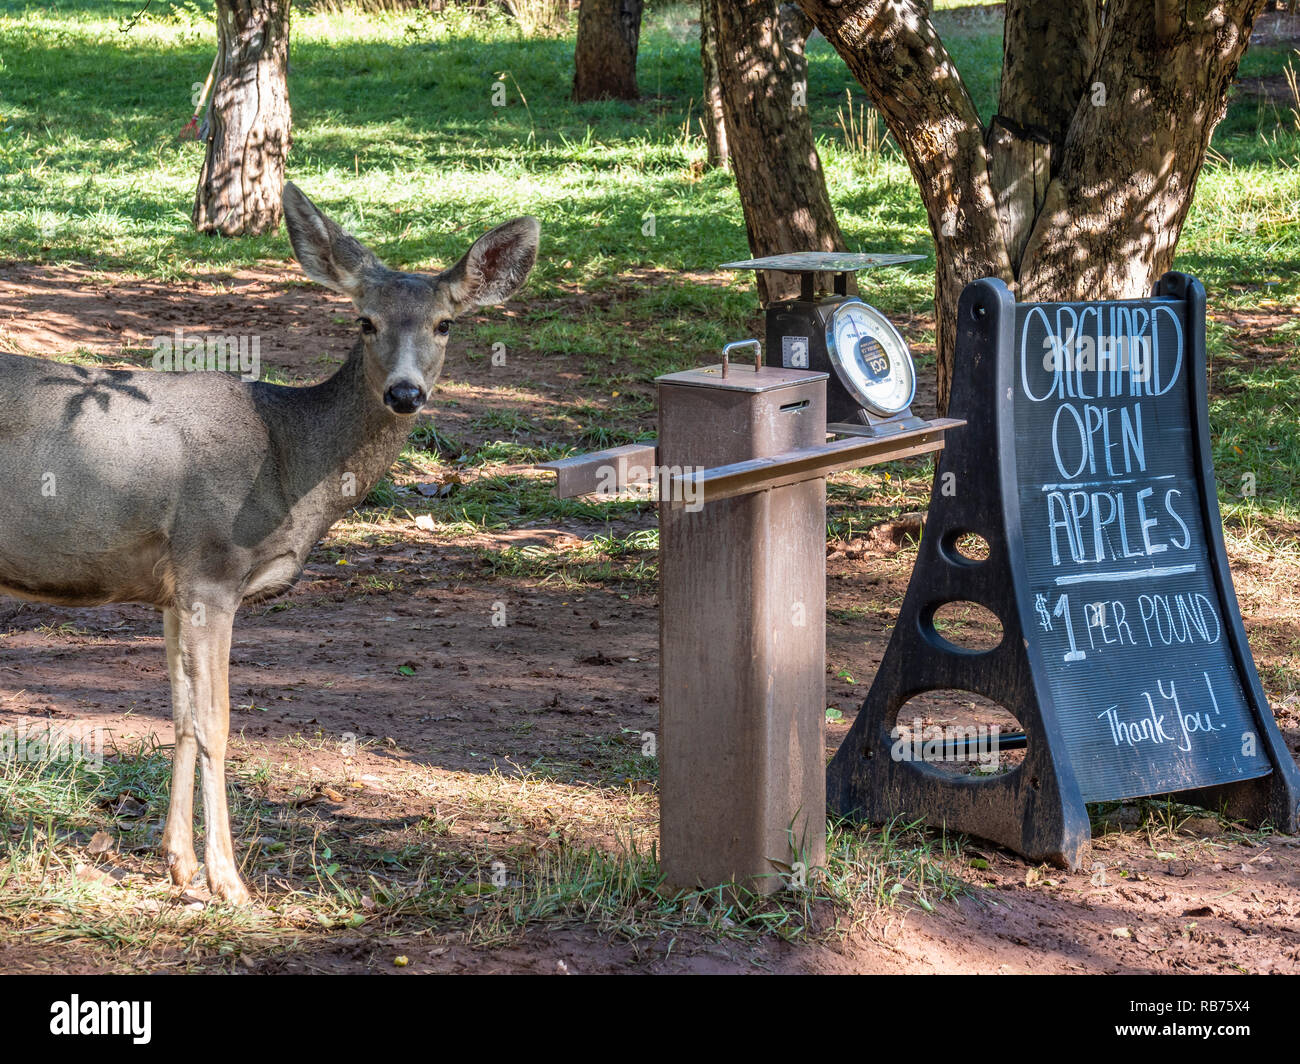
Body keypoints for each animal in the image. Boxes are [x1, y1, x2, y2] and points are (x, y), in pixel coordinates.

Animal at [0, 184, 540, 903]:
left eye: (445, 323)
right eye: (365, 321)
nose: (404, 393)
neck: (288, 459)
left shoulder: (173, 588)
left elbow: (178, 716)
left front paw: (179, 865)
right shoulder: (211, 566)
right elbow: (216, 723)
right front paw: (228, 881)